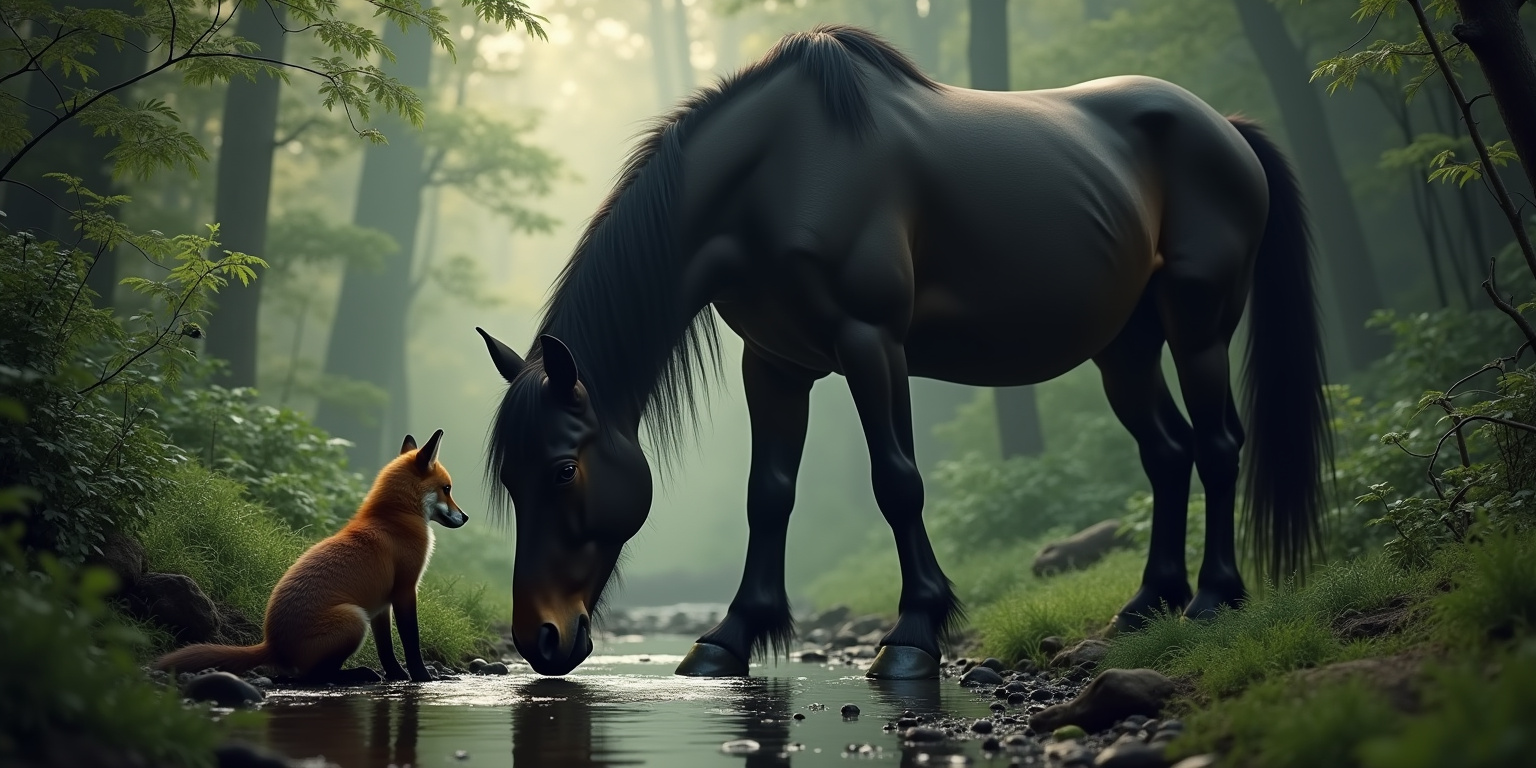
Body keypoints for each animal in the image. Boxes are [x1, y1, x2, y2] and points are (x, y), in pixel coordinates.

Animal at [155, 429, 469, 683]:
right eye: (447, 489)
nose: (465, 517)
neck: (395, 519)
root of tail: (272, 643)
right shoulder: (405, 590)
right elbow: (412, 644)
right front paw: (422, 677)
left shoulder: (382, 604)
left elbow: (386, 650)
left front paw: (396, 675)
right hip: (354, 619)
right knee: (315, 675)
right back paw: (356, 675)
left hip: (360, 617)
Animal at [476, 25, 1330, 679]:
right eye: (510, 479)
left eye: (563, 470)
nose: (539, 639)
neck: (781, 173)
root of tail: (1227, 127)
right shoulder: (775, 363)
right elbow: (769, 494)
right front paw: (731, 637)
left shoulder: (872, 343)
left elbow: (898, 482)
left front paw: (915, 634)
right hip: (1125, 347)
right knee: (1167, 451)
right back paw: (1146, 606)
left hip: (1198, 325)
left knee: (1217, 445)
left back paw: (1215, 599)